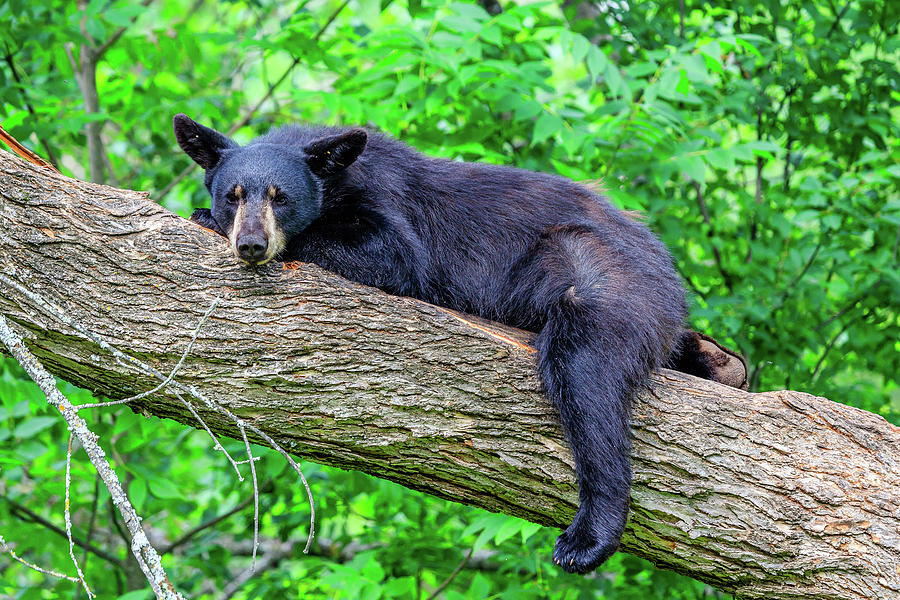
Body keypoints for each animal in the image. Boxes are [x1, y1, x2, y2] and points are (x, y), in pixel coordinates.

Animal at [173, 114, 747, 574]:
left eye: (281, 196)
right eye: (233, 195)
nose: (251, 244)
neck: (338, 178)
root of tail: (666, 269)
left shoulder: (390, 205)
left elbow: (393, 253)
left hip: (601, 267)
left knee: (587, 371)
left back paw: (589, 535)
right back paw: (720, 362)